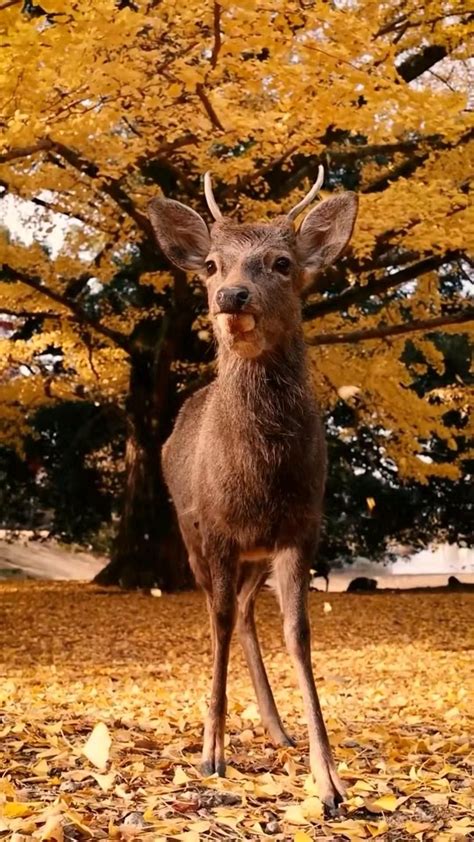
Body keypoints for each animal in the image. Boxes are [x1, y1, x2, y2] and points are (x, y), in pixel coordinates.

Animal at [148, 167, 358, 814]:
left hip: (255, 556)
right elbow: (214, 623)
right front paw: (210, 755)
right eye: (212, 265)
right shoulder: (215, 530)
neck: (261, 478)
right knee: (222, 612)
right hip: (191, 537)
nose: (231, 297)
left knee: (243, 611)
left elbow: (299, 635)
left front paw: (329, 781)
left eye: (282, 263)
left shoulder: (301, 529)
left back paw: (276, 726)